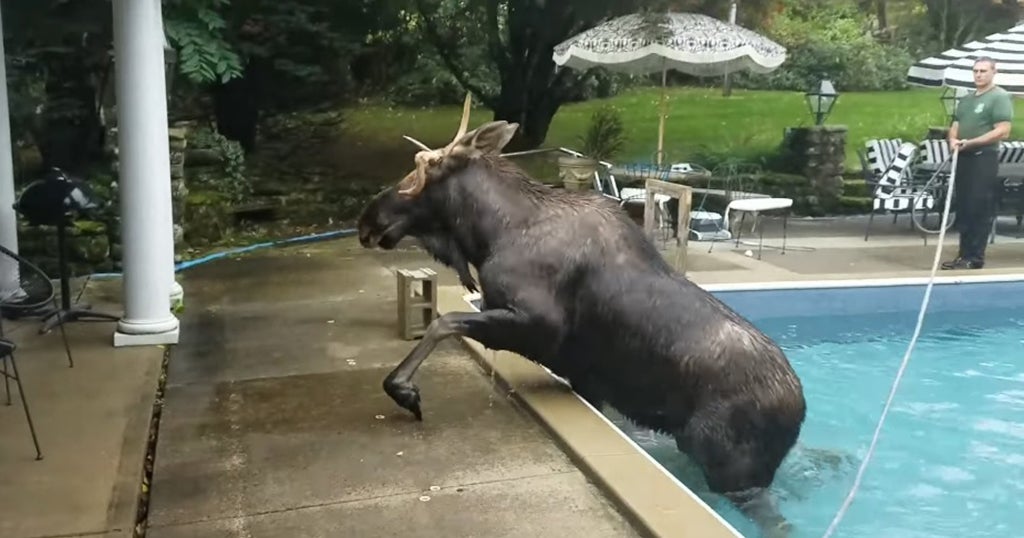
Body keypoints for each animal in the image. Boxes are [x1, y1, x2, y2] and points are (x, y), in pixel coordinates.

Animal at [357, 93, 807, 537]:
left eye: (424, 167)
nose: (366, 219)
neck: (489, 233)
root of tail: (798, 408)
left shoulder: (537, 324)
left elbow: (443, 322)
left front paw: (403, 390)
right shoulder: (586, 376)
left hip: (731, 468)